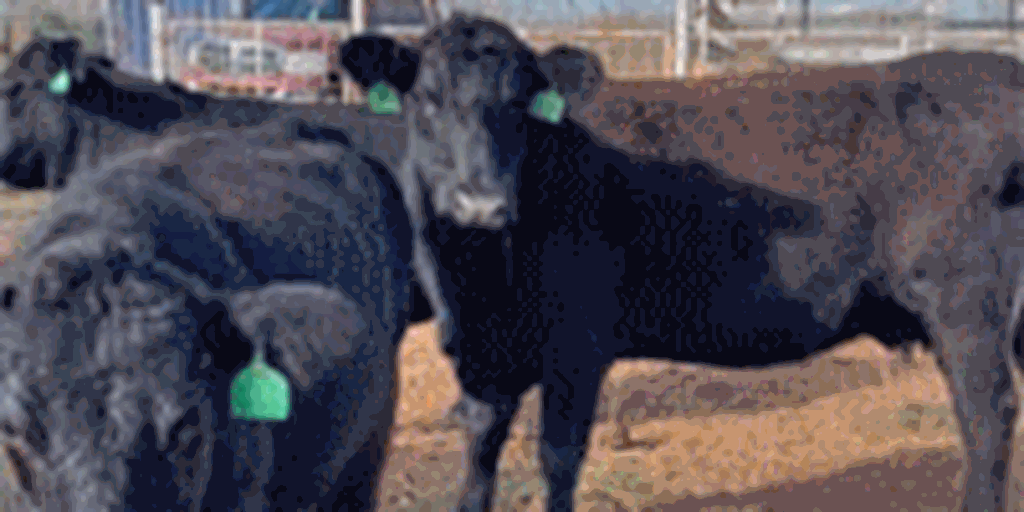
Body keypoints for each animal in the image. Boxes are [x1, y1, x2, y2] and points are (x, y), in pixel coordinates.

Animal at [356, 22, 1024, 512]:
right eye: (426, 100)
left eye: (524, 106)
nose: (482, 203)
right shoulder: (482, 358)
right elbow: (479, 457)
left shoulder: (577, 348)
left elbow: (558, 458)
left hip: (966, 309)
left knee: (986, 418)